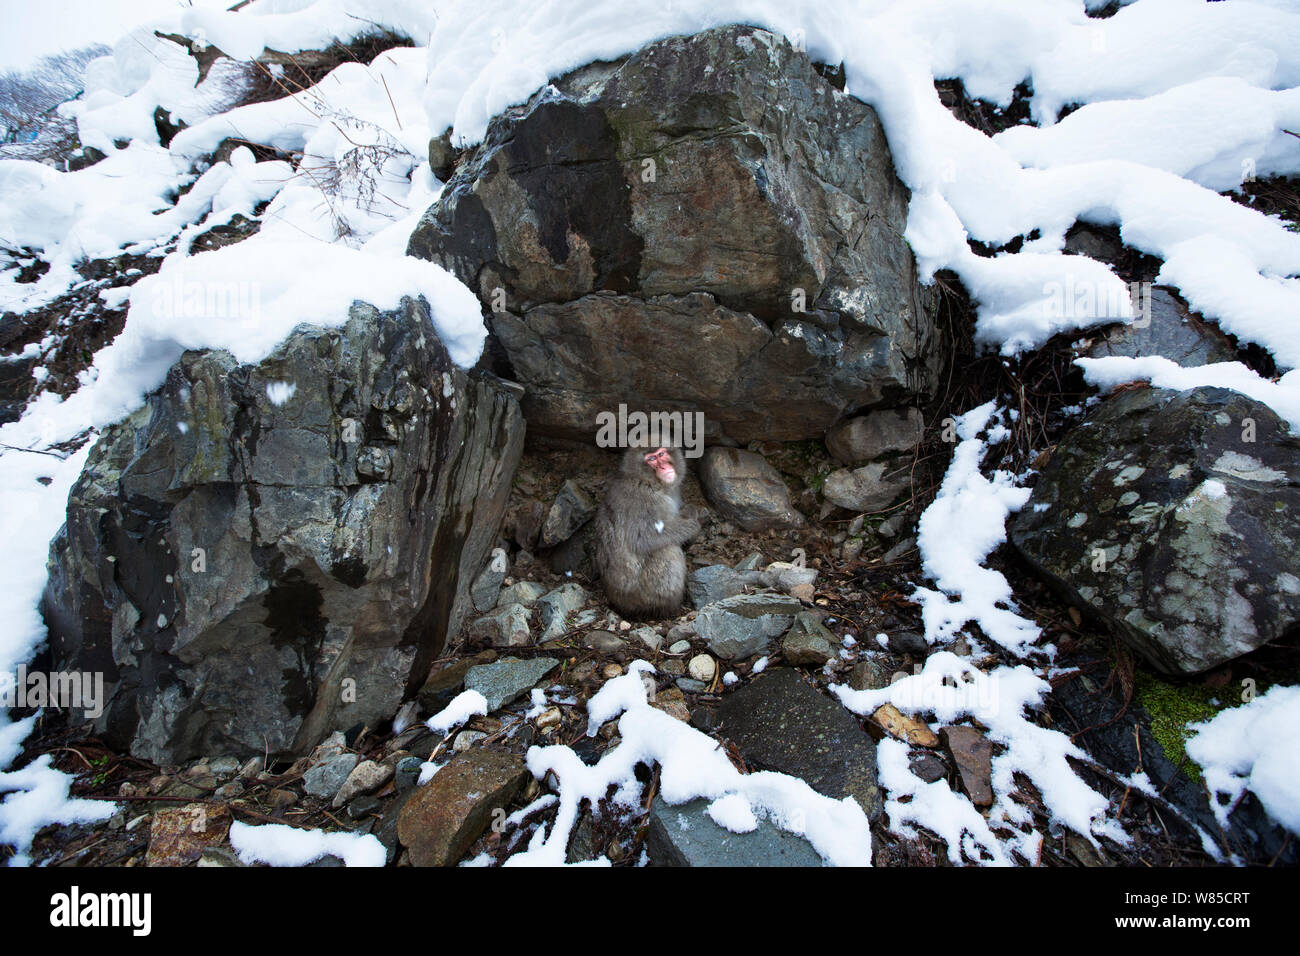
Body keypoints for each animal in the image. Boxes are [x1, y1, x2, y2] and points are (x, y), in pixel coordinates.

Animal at [594, 445, 701, 619]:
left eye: (661, 454)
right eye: (651, 459)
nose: (664, 467)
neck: (648, 481)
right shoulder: (643, 500)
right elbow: (643, 538)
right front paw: (694, 526)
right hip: (648, 591)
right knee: (668, 550)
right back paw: (669, 607)